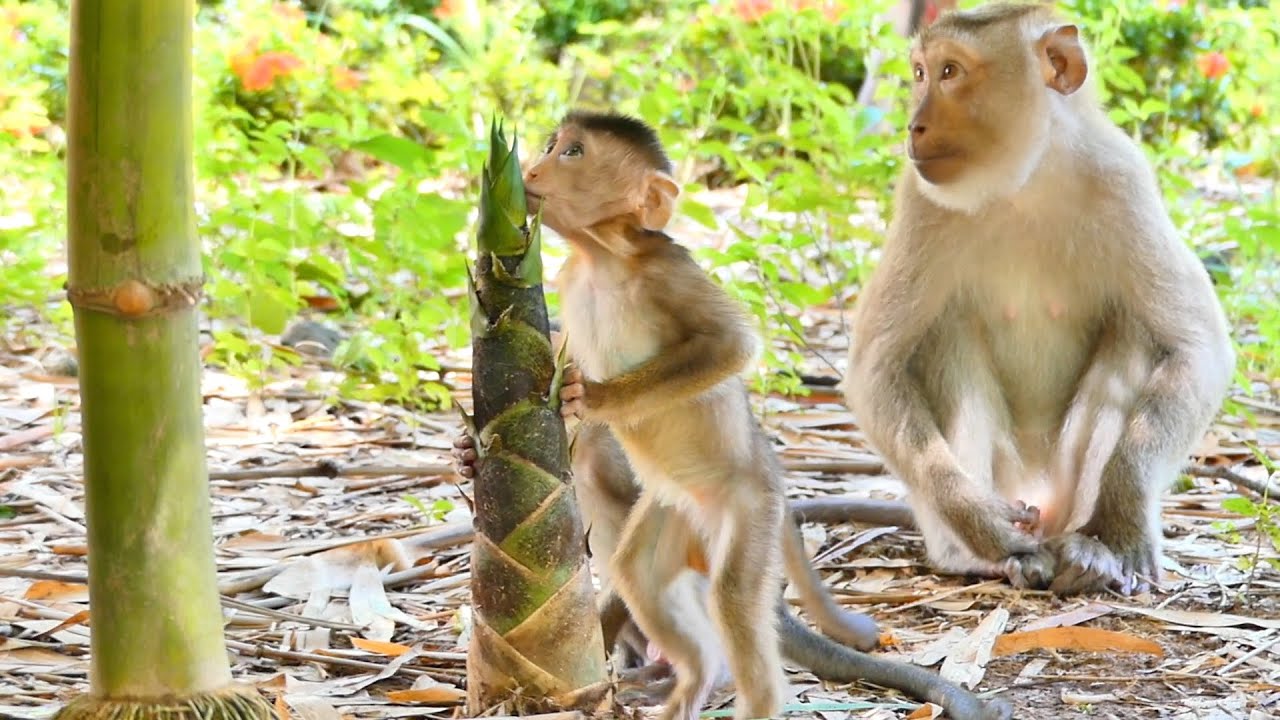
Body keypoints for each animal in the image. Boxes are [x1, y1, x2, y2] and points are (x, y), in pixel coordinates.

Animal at [503, 109, 1011, 720]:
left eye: (573, 153)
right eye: (552, 145)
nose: (532, 169)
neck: (602, 259)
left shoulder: (669, 272)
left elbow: (732, 346)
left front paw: (598, 398)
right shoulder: (570, 283)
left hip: (749, 507)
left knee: (733, 595)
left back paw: (747, 692)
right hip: (675, 508)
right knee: (639, 574)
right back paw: (693, 681)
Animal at [843, 2, 1235, 598]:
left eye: (950, 72)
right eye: (919, 74)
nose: (915, 125)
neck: (1024, 184)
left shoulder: (1124, 181)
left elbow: (1196, 349)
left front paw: (1123, 519)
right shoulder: (920, 201)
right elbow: (875, 369)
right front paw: (981, 522)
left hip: (1066, 494)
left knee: (1135, 333)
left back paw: (1089, 552)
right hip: (1007, 487)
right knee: (946, 332)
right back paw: (985, 555)